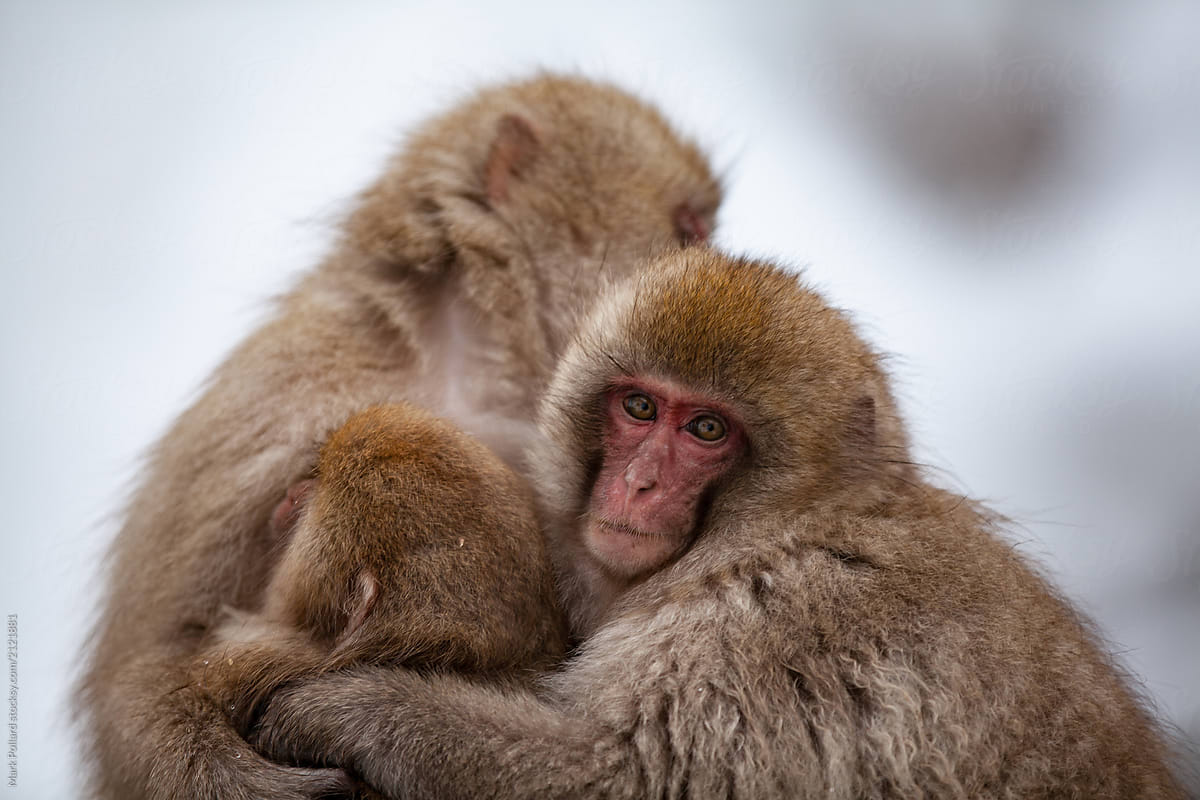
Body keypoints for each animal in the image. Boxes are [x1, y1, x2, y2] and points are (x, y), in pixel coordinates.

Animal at [250, 249, 1187, 799]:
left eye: (706, 430)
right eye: (638, 407)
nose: (638, 482)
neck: (788, 523)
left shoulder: (773, 629)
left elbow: (623, 776)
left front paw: (344, 709)